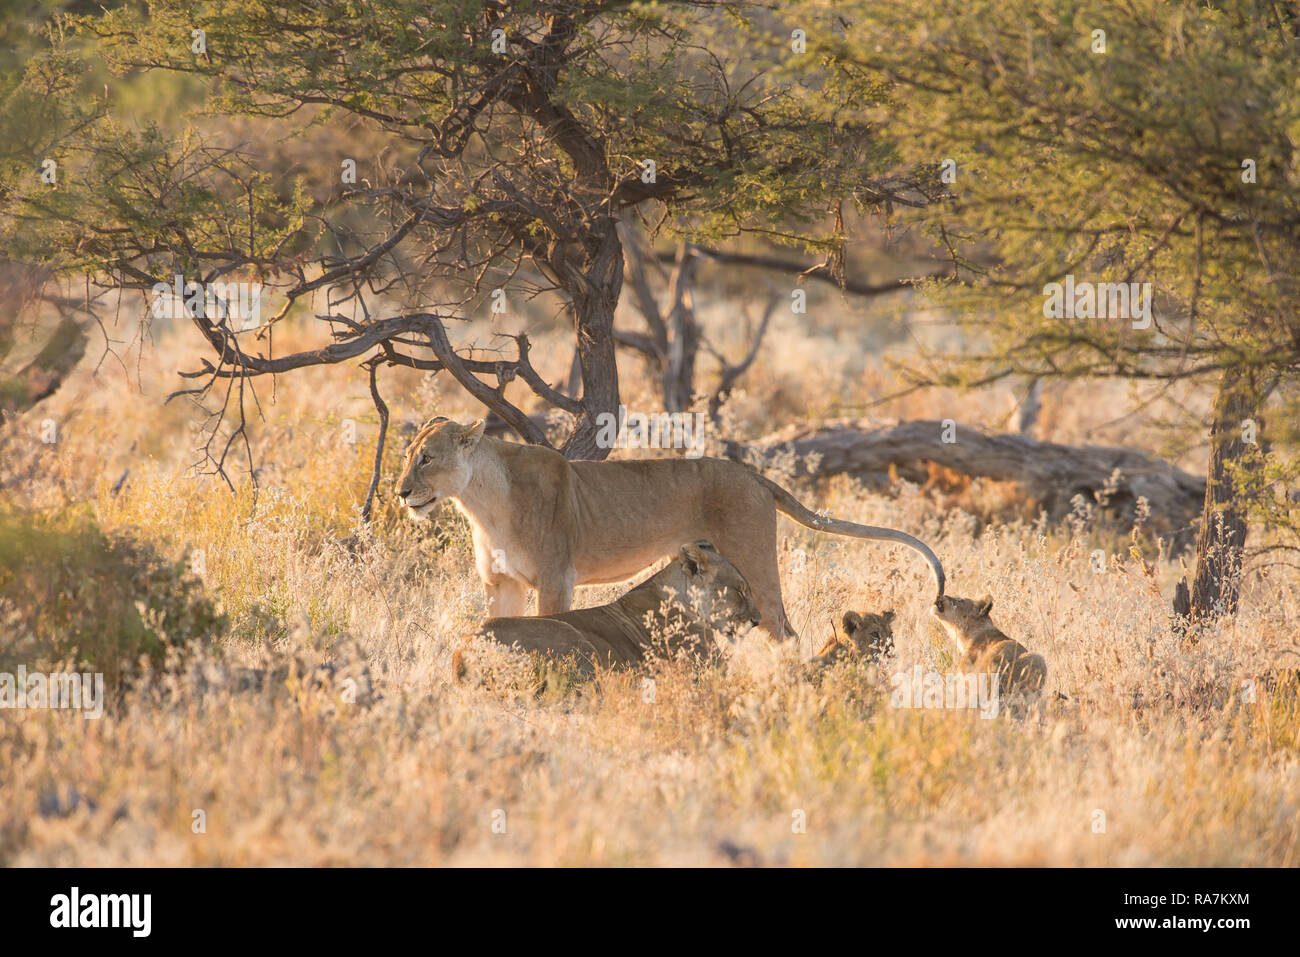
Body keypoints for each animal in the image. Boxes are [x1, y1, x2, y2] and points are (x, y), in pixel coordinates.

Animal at [397, 417, 945, 638]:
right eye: (406, 456)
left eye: (427, 458)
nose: (400, 492)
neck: (481, 502)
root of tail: (751, 473)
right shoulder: (501, 585)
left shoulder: (555, 580)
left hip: (754, 563)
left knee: (783, 629)